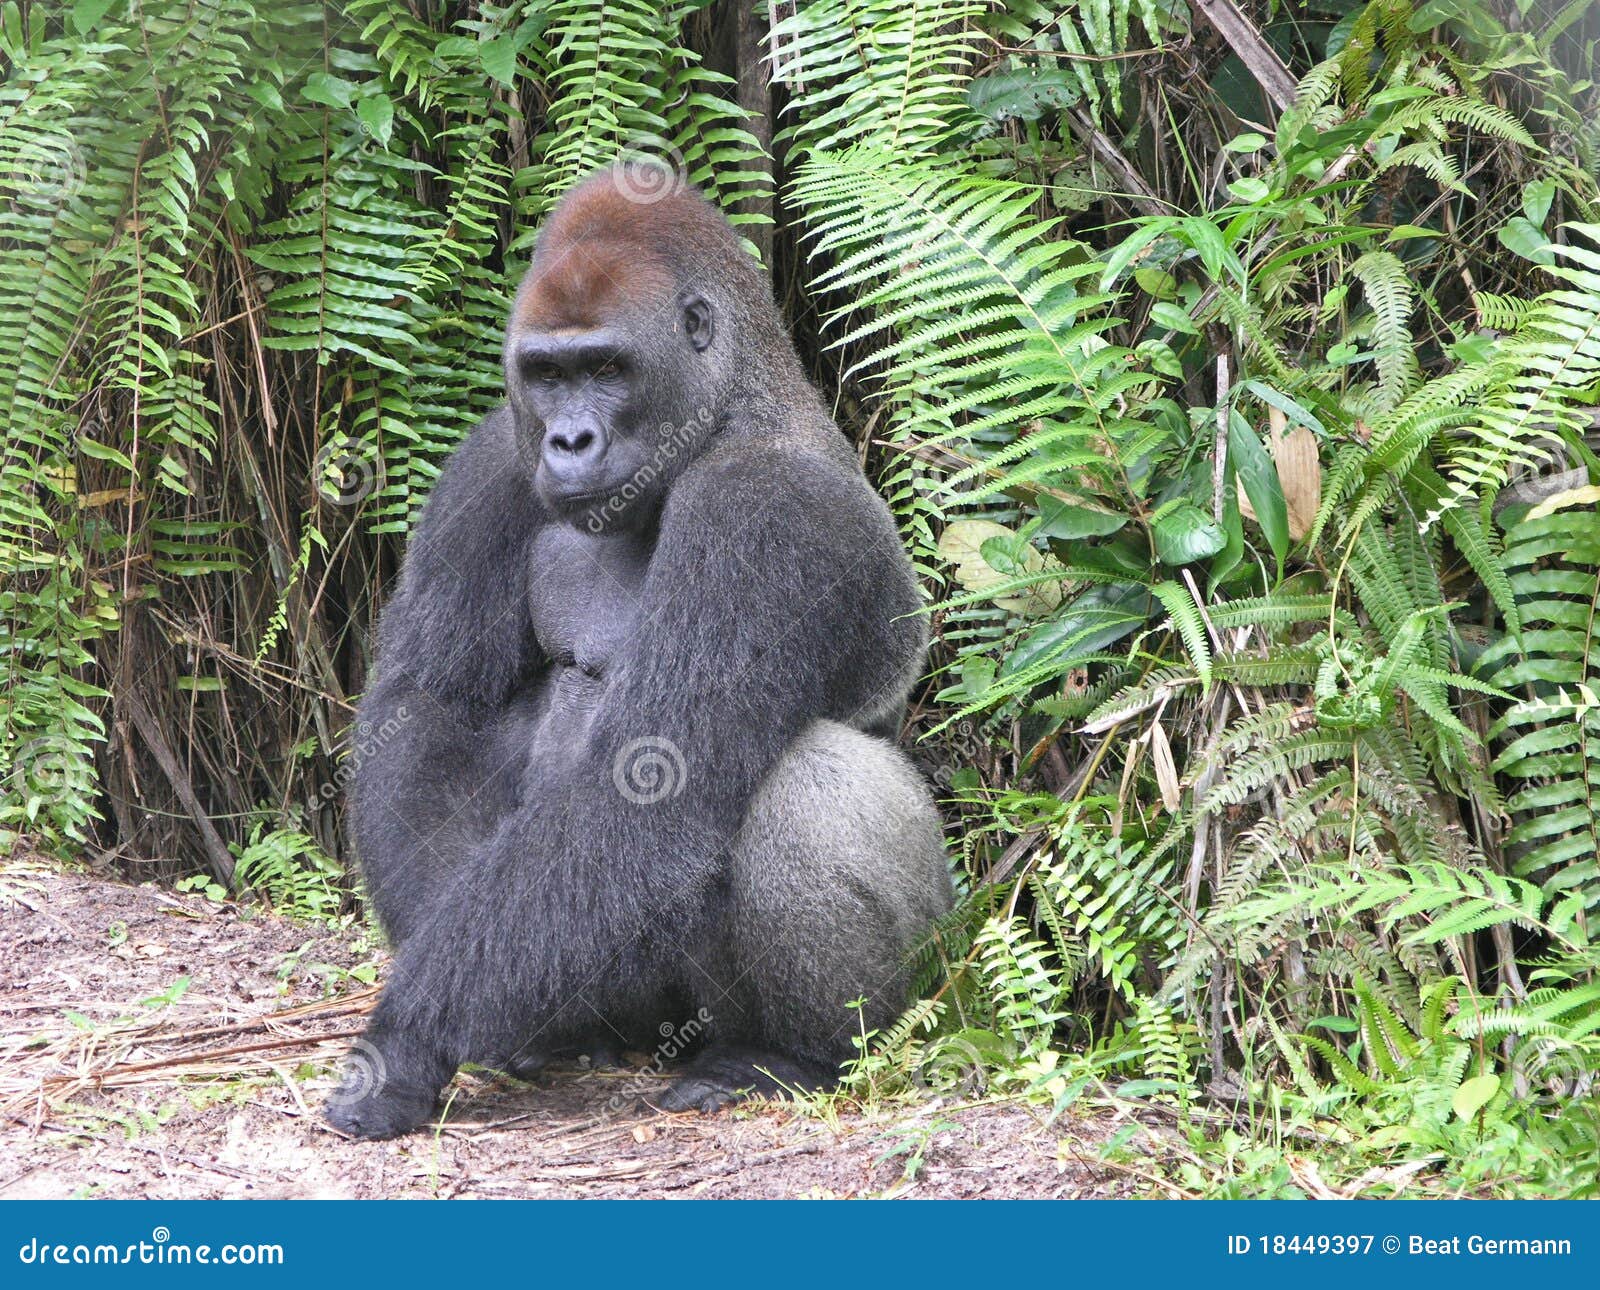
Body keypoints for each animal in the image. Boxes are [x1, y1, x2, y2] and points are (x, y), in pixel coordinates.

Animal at [326, 164, 952, 1140]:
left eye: (609, 368)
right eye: (548, 374)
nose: (569, 440)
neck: (734, 404)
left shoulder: (764, 508)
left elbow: (646, 780)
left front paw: (407, 1036)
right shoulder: (492, 456)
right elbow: (434, 708)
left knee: (805, 785)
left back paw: (791, 1057)